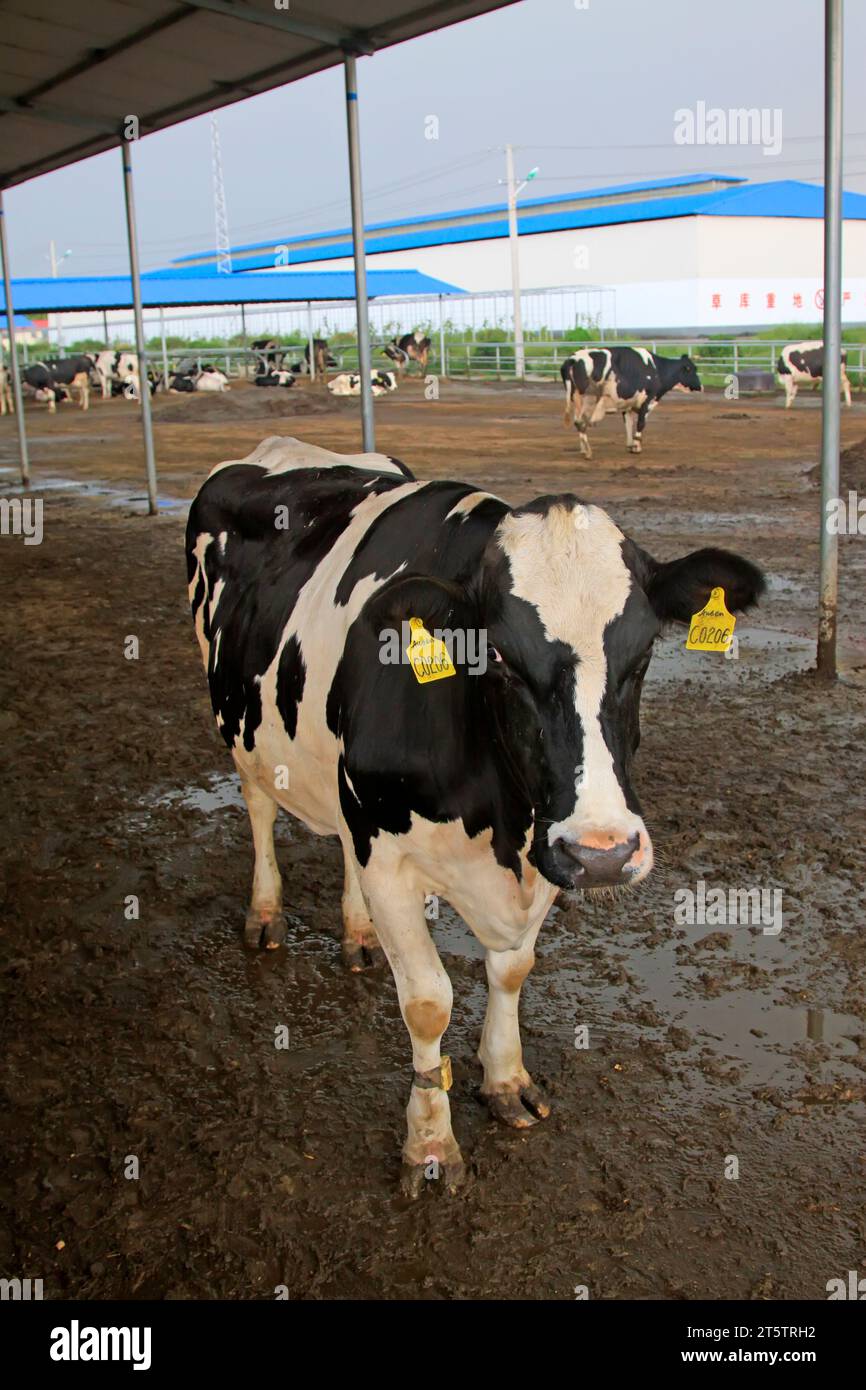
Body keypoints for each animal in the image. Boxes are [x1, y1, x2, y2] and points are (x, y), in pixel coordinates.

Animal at [186, 435, 764, 1192]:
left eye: (642, 658)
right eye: (501, 660)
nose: (605, 853)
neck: (501, 818)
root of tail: (280, 448)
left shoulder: (542, 847)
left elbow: (512, 970)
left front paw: (505, 1079)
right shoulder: (393, 854)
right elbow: (429, 1001)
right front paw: (430, 1144)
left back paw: (357, 933)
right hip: (236, 720)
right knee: (257, 807)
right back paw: (264, 915)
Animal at [562, 347, 701, 457]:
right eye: (692, 369)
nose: (701, 386)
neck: (657, 369)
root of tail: (573, 359)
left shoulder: (627, 405)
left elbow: (628, 424)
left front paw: (630, 445)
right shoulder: (647, 400)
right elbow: (640, 423)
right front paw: (636, 447)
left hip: (576, 398)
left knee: (578, 422)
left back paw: (583, 450)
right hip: (588, 398)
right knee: (581, 422)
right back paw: (588, 452)